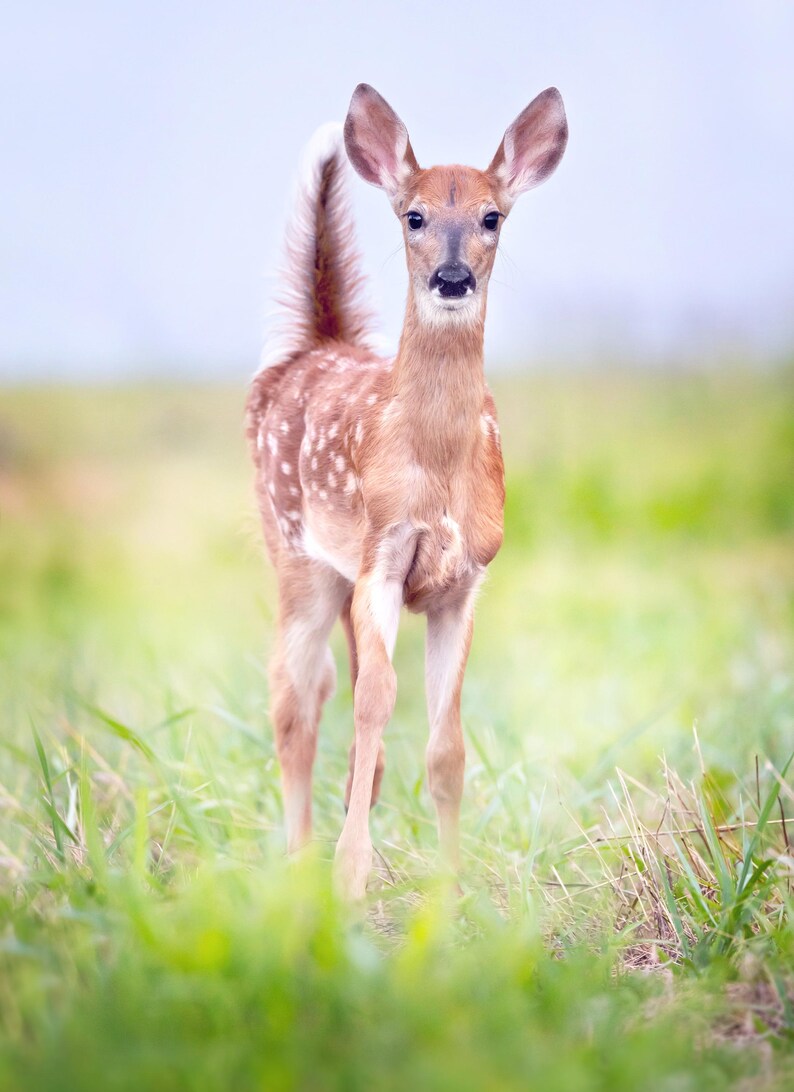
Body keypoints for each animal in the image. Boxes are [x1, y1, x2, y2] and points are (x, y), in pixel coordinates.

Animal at [246, 83, 568, 900]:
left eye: (492, 216)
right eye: (413, 215)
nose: (452, 279)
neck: (438, 465)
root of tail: (310, 349)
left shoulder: (466, 580)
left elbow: (445, 740)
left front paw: (451, 889)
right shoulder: (383, 558)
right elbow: (374, 705)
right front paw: (350, 875)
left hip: (336, 577)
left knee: (329, 691)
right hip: (296, 556)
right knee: (294, 701)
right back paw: (298, 868)